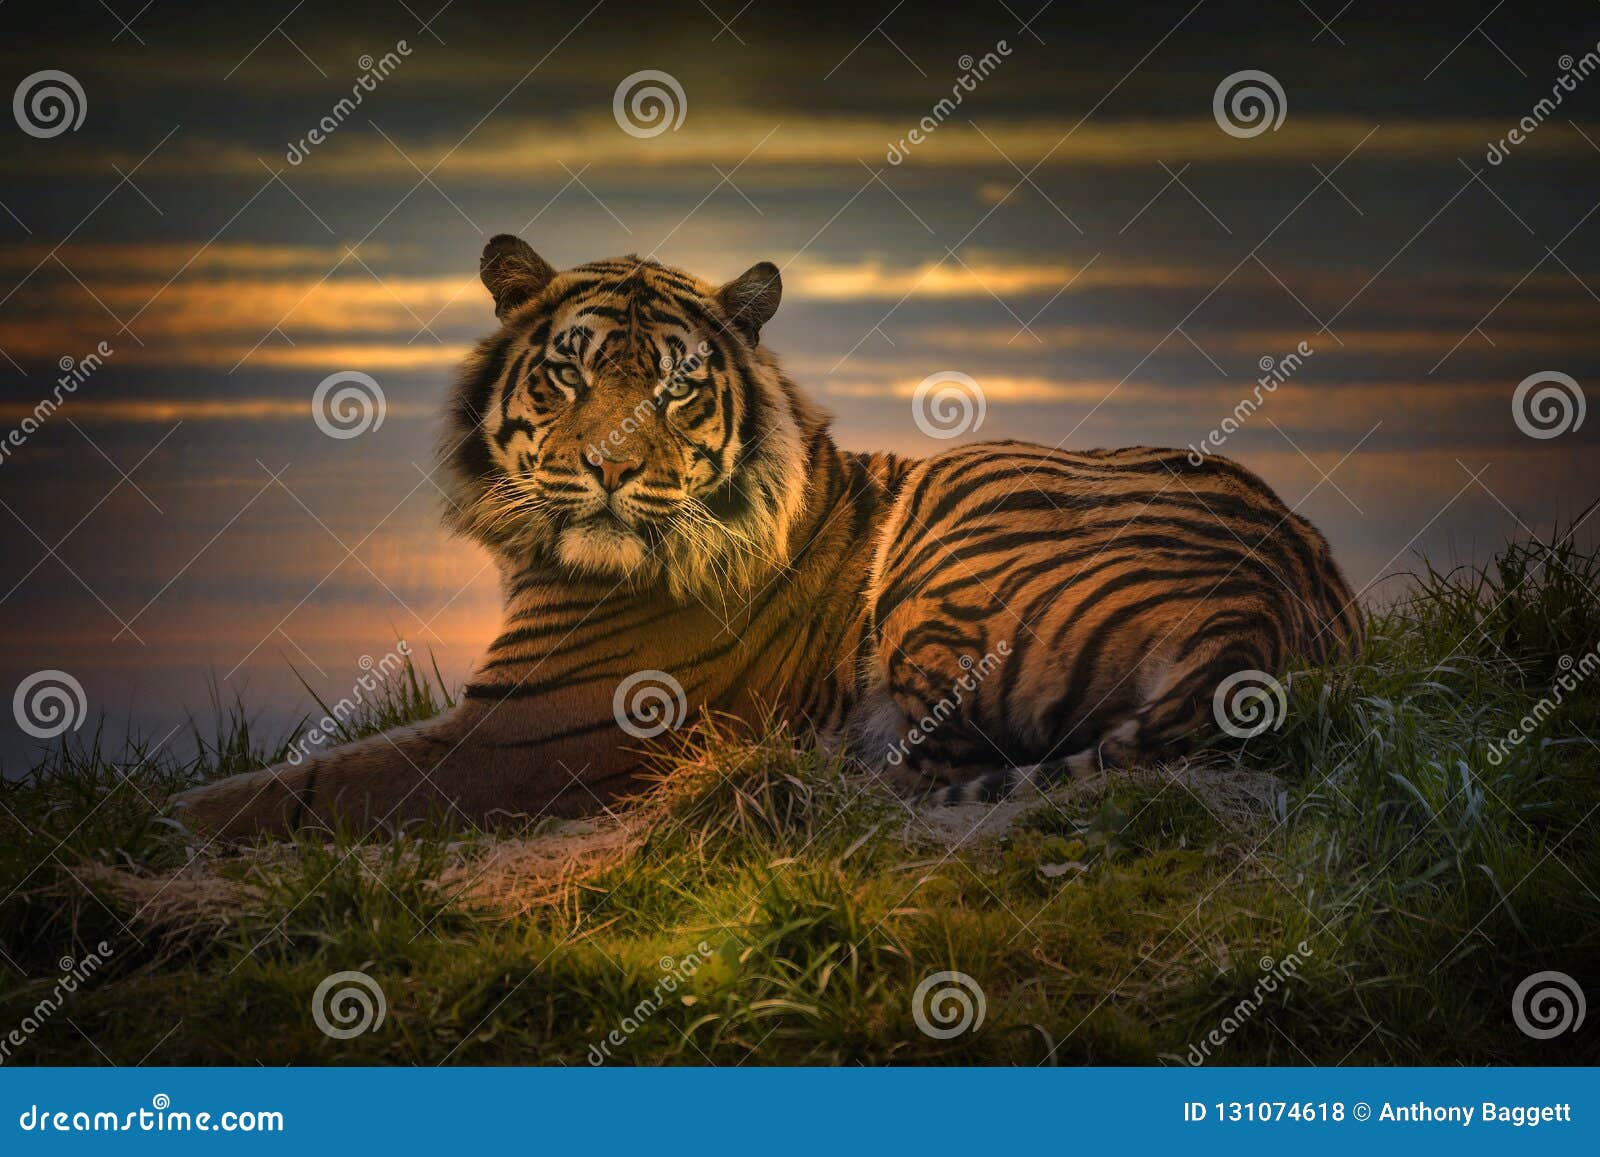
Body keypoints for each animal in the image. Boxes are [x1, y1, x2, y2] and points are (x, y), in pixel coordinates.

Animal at [173, 234, 1364, 841]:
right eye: (570, 370)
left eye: (677, 383)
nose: (609, 469)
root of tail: (1275, 621)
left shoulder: (513, 734)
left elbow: (294, 786)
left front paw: (149, 831)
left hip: (960, 522)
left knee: (926, 773)